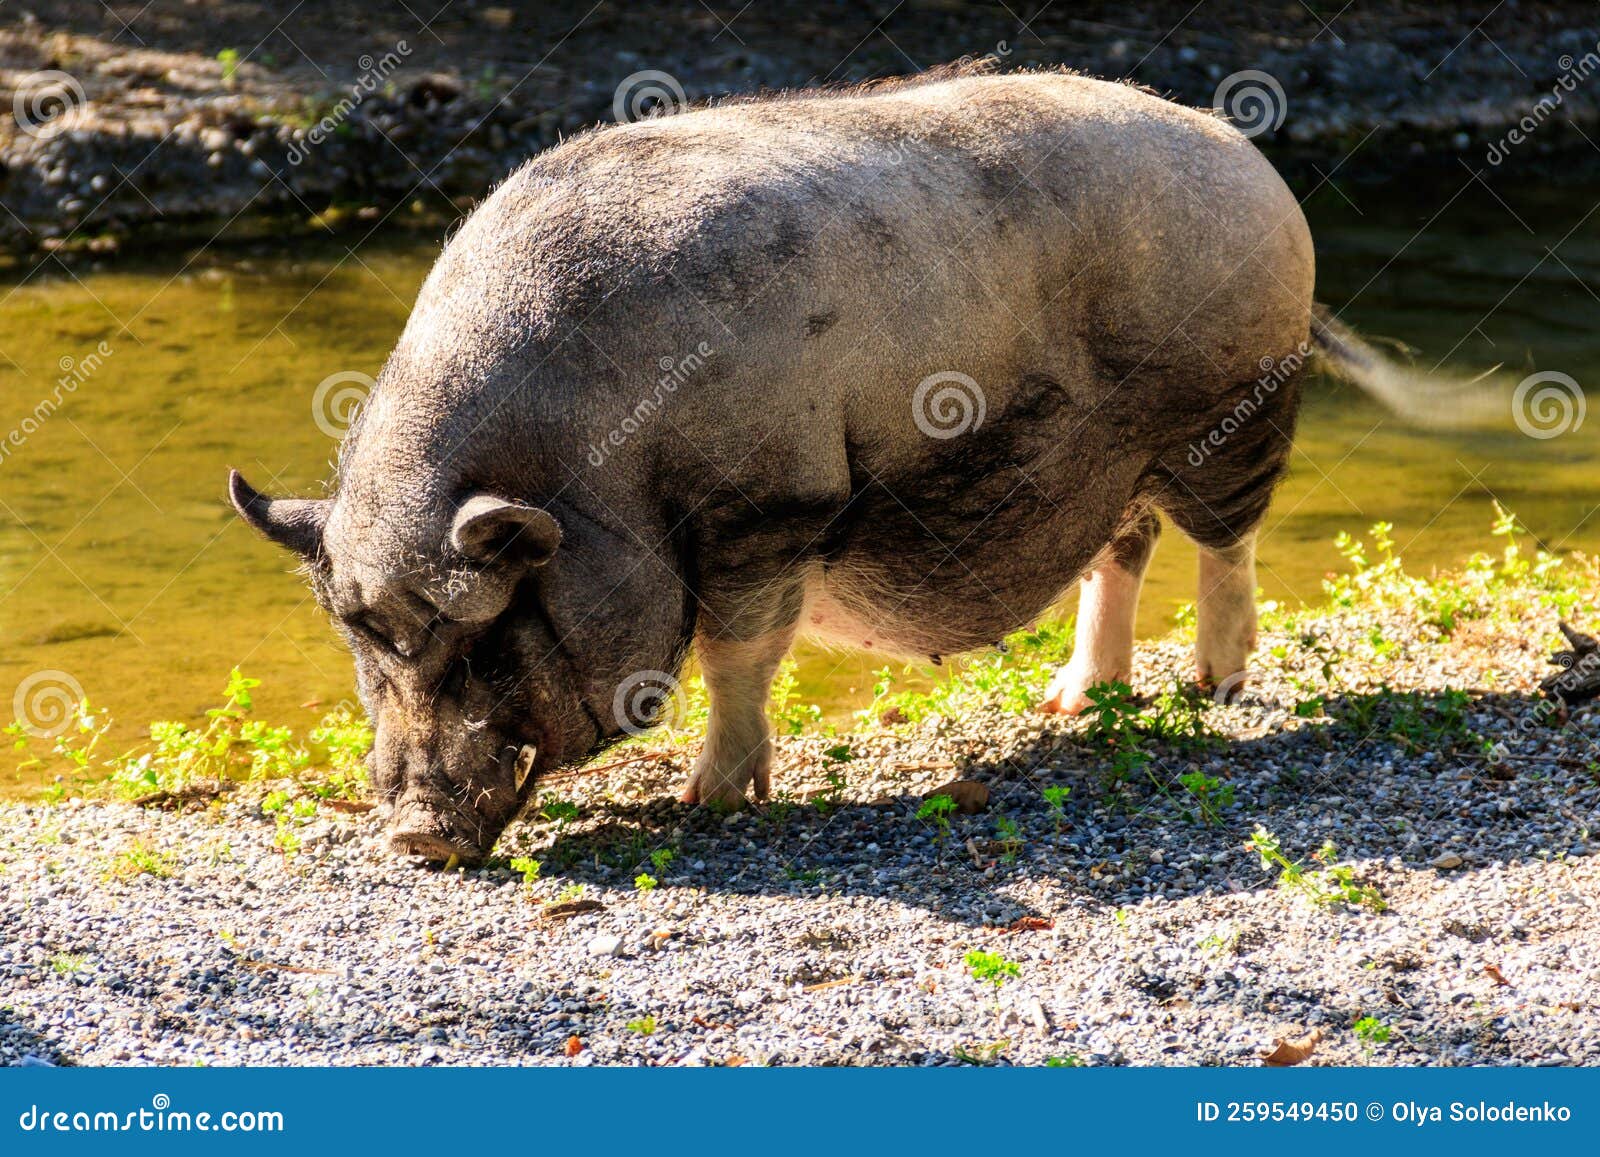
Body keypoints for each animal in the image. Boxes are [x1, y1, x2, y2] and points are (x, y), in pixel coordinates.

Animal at [230, 63, 1395, 863]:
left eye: (483, 636)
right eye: (366, 643)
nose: (412, 837)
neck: (596, 458)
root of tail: (1244, 155)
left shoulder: (767, 508)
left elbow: (736, 655)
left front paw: (706, 801)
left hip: (1237, 410)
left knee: (1227, 542)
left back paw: (1216, 687)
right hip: (1114, 466)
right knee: (1126, 547)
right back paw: (1071, 704)